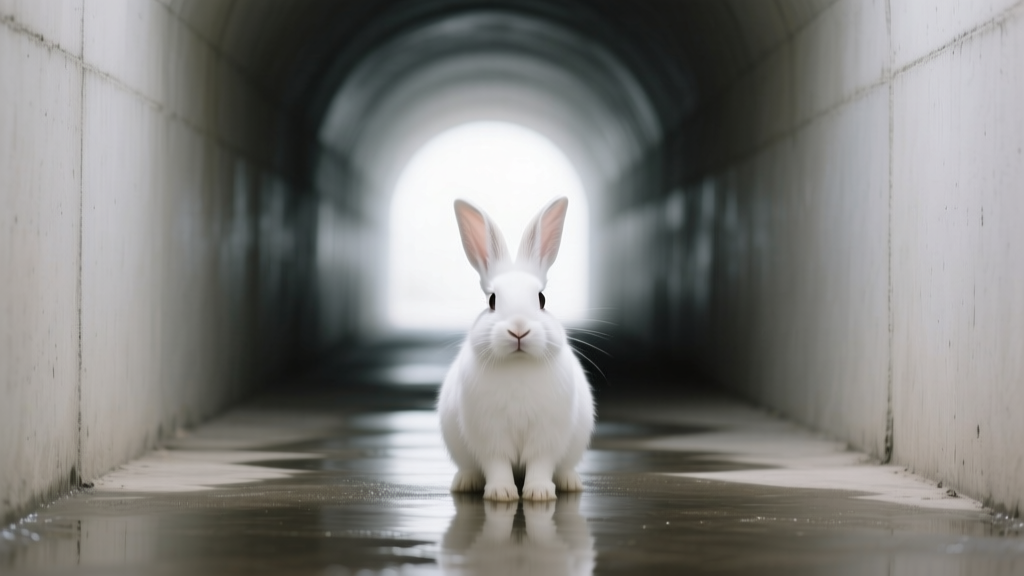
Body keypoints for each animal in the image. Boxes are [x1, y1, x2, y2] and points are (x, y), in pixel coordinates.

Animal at [438, 196, 595, 502]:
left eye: (542, 299)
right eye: (492, 300)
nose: (519, 329)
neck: (518, 364)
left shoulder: (546, 437)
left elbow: (540, 464)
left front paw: (539, 494)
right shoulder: (490, 436)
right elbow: (497, 464)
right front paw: (501, 494)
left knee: (564, 467)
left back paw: (571, 482)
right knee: (470, 468)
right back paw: (464, 482)